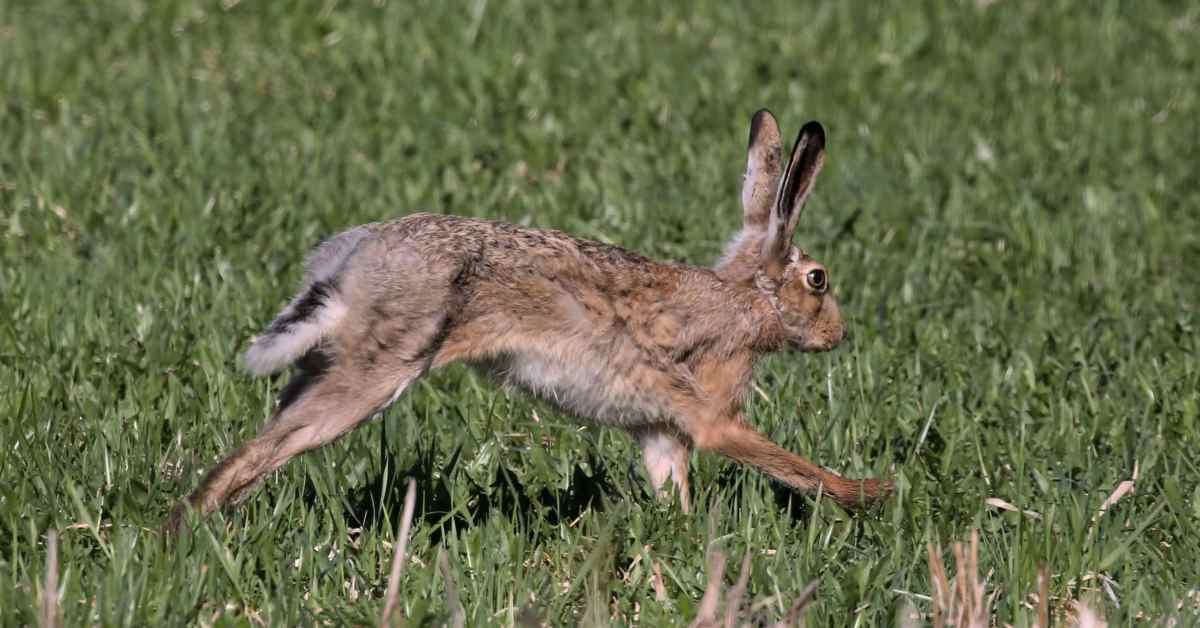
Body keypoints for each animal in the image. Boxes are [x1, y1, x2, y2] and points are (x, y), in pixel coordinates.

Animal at [164, 110, 892, 534]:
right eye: (818, 279)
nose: (838, 335)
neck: (745, 303)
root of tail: (350, 259)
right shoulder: (709, 415)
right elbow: (780, 459)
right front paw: (869, 494)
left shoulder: (661, 429)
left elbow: (671, 481)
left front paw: (680, 539)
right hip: (377, 371)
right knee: (268, 449)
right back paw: (186, 530)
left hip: (330, 365)